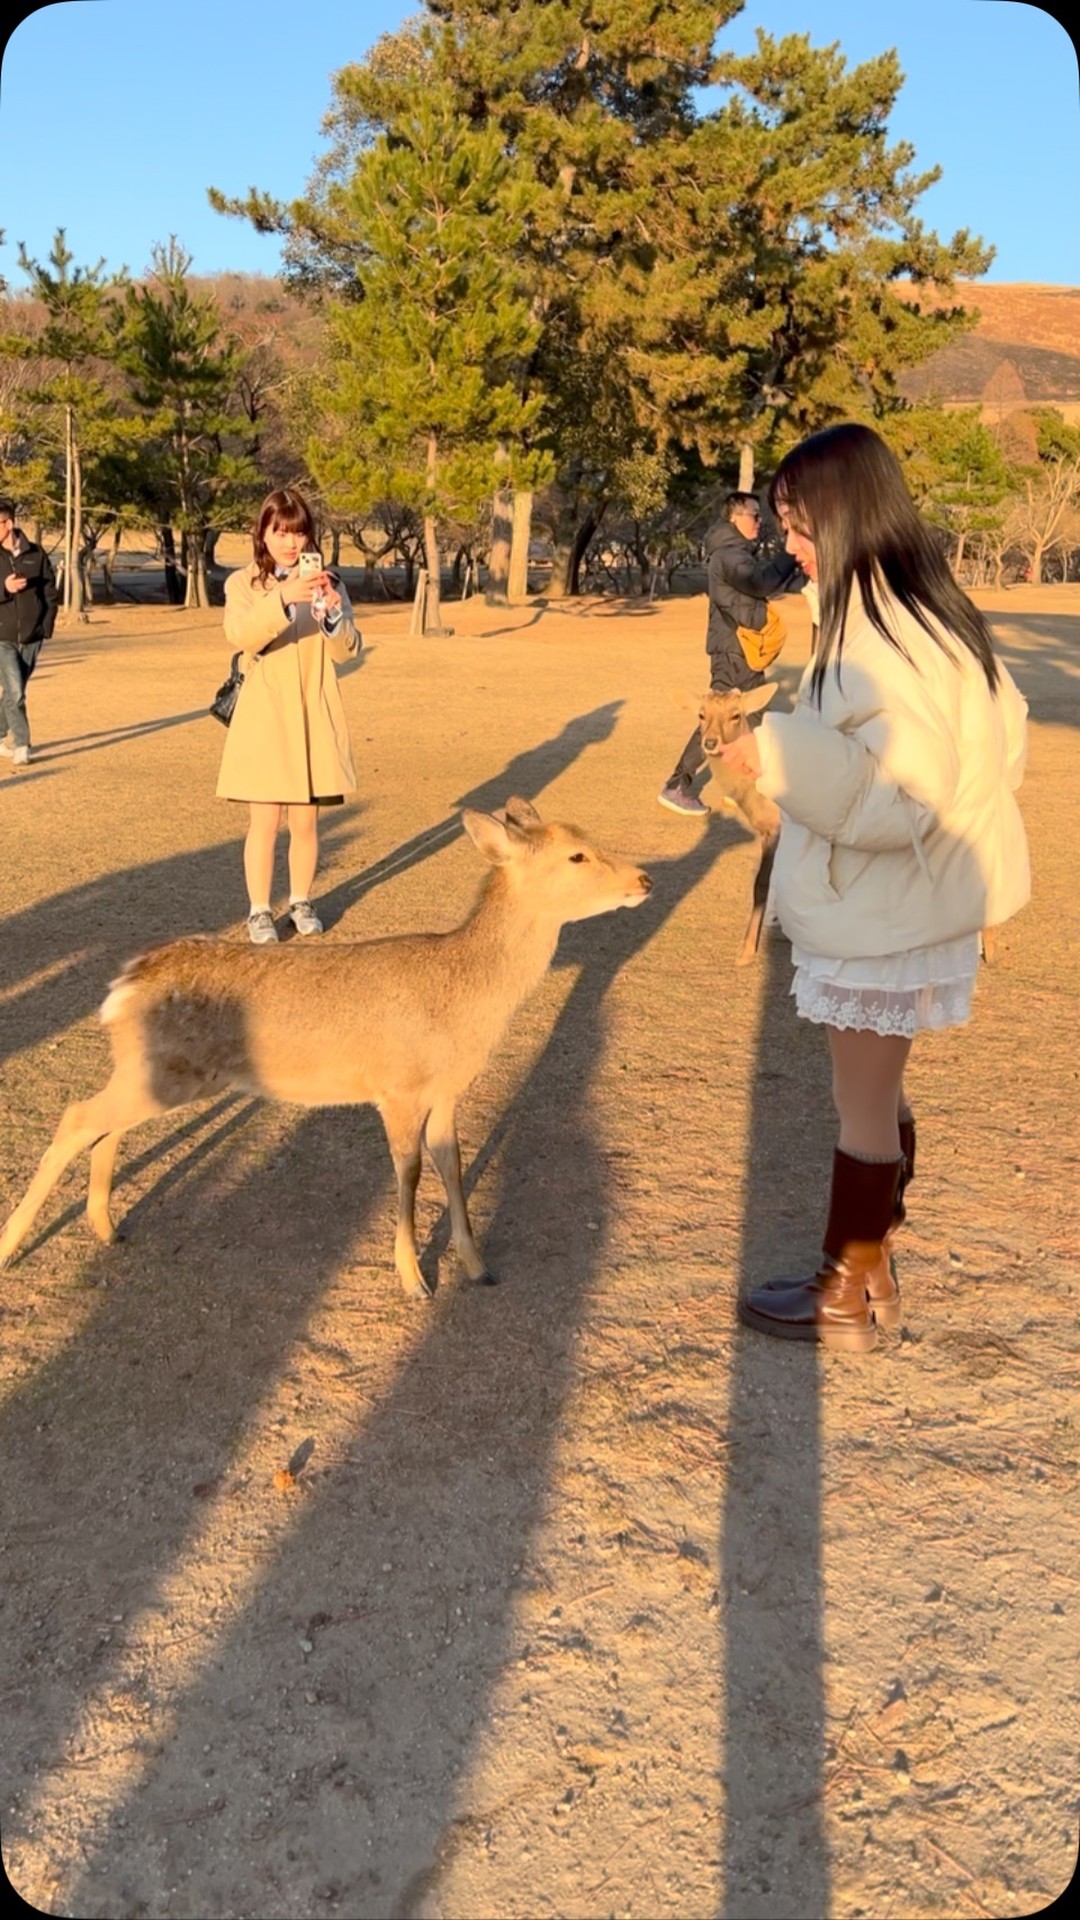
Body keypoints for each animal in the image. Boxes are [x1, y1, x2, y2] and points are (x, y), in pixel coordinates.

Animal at [0, 799, 652, 1297]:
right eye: (577, 854)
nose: (644, 880)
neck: (463, 1010)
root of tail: (122, 984)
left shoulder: (445, 1091)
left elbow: (452, 1164)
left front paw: (477, 1266)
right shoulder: (397, 1087)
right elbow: (409, 1171)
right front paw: (414, 1278)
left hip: (158, 1075)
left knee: (102, 1125)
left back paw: (107, 1229)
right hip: (164, 1074)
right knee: (76, 1116)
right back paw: (12, 1247)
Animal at [683, 681, 782, 965]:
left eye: (736, 715)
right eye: (701, 714)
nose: (710, 742)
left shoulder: (777, 827)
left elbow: (761, 884)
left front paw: (746, 951)